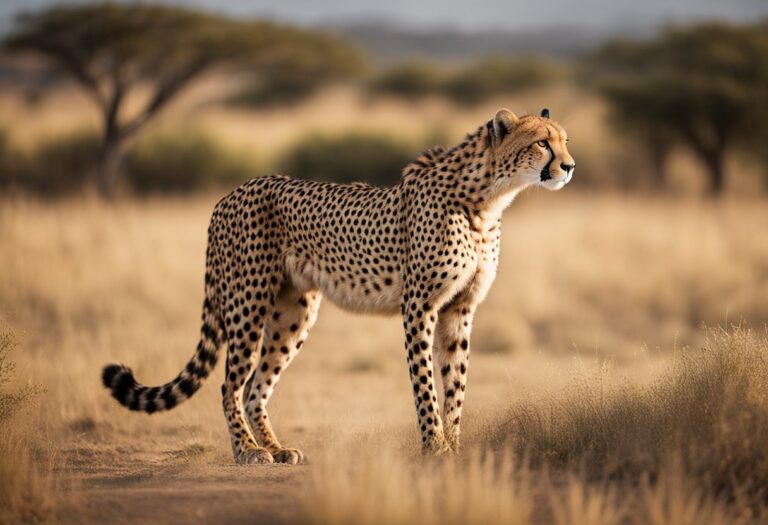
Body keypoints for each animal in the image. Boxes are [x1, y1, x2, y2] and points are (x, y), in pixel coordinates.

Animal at [102, 107, 575, 464]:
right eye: (542, 142)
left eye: (565, 140)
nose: (569, 166)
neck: (487, 199)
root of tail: (231, 193)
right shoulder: (419, 306)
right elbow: (425, 382)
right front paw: (433, 447)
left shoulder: (460, 309)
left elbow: (455, 384)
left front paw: (454, 448)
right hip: (248, 303)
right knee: (229, 385)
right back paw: (248, 450)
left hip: (292, 312)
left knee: (255, 387)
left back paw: (277, 448)